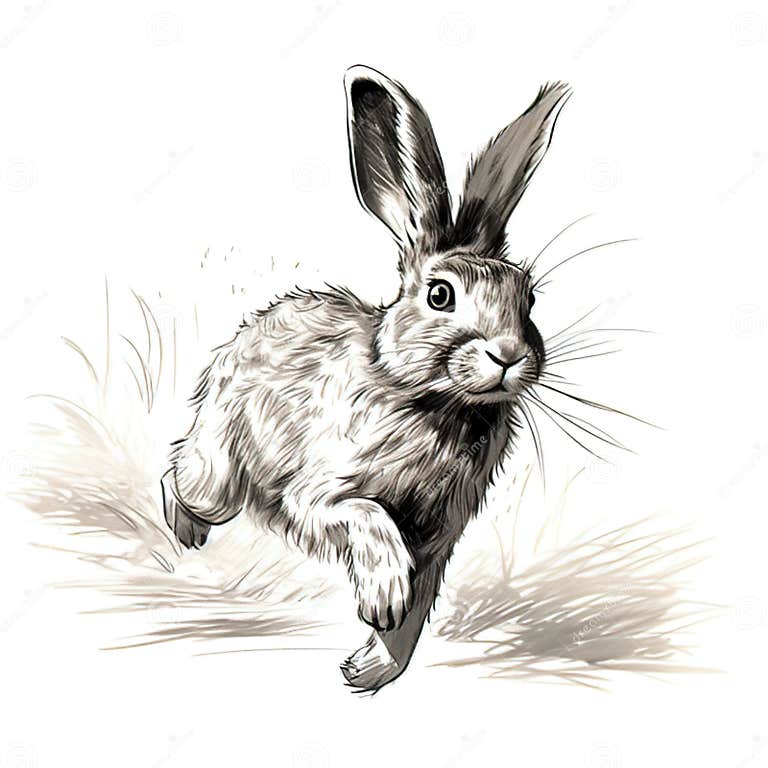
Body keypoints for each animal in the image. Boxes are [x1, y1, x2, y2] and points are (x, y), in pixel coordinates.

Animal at [161, 64, 570, 691]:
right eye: (440, 294)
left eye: (528, 300)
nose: (507, 355)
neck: (433, 402)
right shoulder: (318, 492)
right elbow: (365, 516)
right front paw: (383, 596)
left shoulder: (439, 537)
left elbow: (416, 613)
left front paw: (369, 670)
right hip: (218, 473)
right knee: (183, 480)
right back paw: (185, 535)